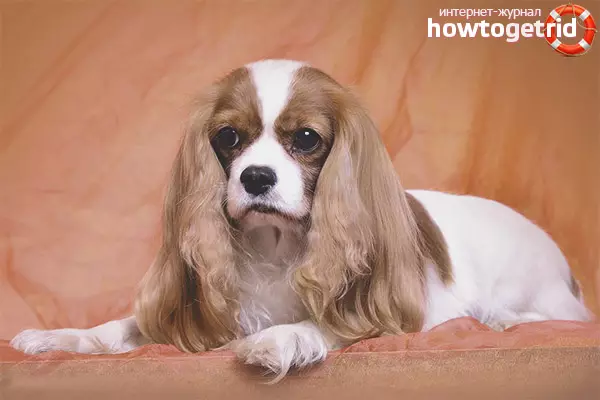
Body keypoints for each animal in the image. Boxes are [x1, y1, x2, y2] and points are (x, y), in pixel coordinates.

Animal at [10, 59, 592, 382]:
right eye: (228, 137)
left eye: (307, 139)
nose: (255, 177)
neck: (274, 248)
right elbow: (122, 327)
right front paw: (61, 337)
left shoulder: (395, 313)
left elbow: (330, 324)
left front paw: (282, 338)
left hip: (537, 292)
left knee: (559, 319)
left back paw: (503, 320)